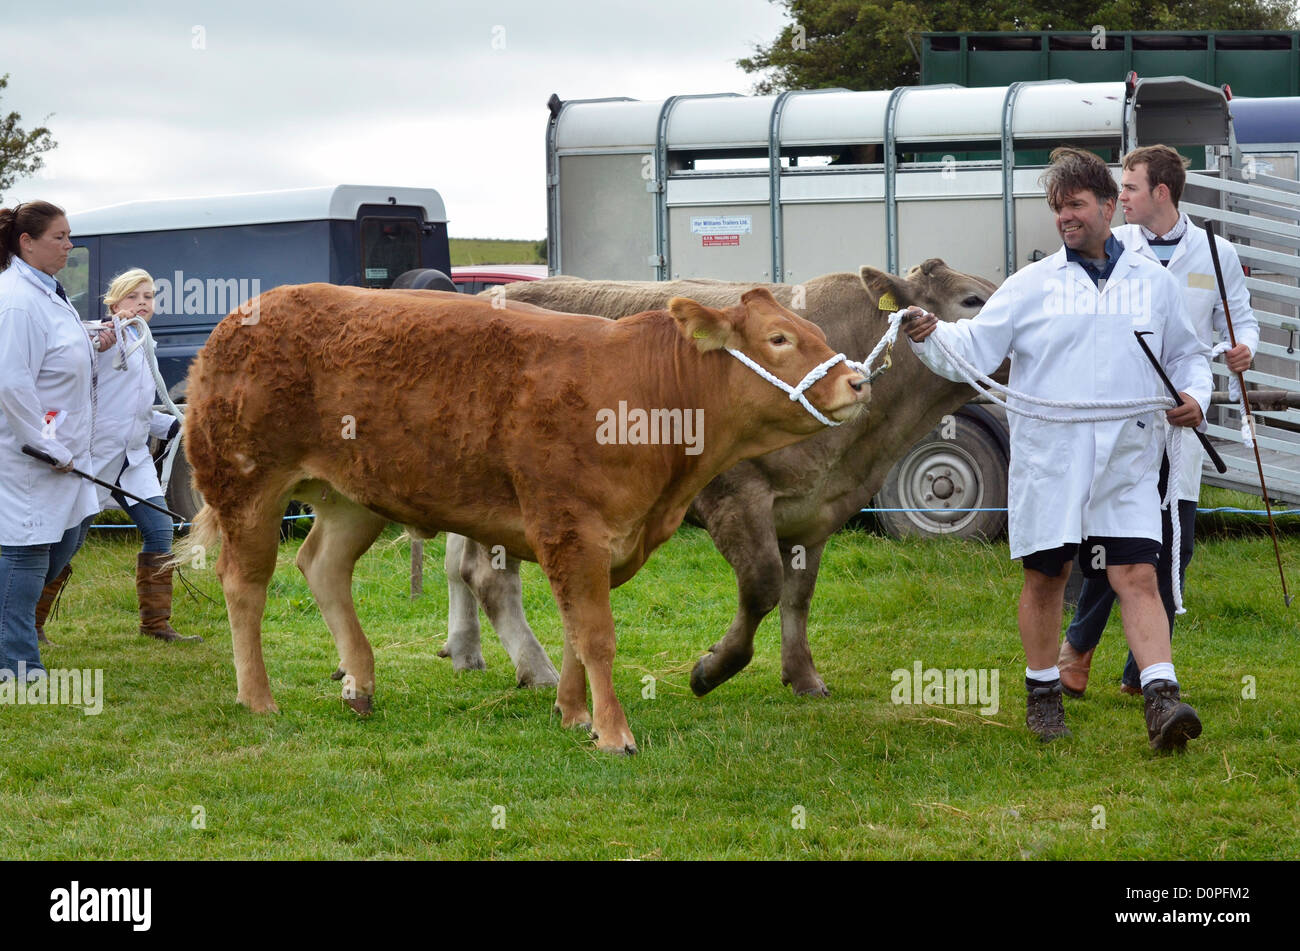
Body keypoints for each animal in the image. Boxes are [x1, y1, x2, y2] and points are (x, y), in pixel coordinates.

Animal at [181, 283, 868, 754]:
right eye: (778, 338)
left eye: (810, 327)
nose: (858, 381)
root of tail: (243, 316)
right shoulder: (571, 526)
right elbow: (596, 635)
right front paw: (613, 732)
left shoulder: (593, 542)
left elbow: (573, 630)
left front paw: (573, 713)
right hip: (247, 487)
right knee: (245, 585)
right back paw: (259, 697)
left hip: (350, 497)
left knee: (323, 567)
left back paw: (360, 682)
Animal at [441, 261, 998, 697]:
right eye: (972, 299)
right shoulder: (734, 493)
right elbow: (762, 586)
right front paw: (712, 668)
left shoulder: (816, 510)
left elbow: (798, 595)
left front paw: (803, 676)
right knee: (488, 576)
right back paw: (538, 670)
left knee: (465, 567)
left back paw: (470, 651)